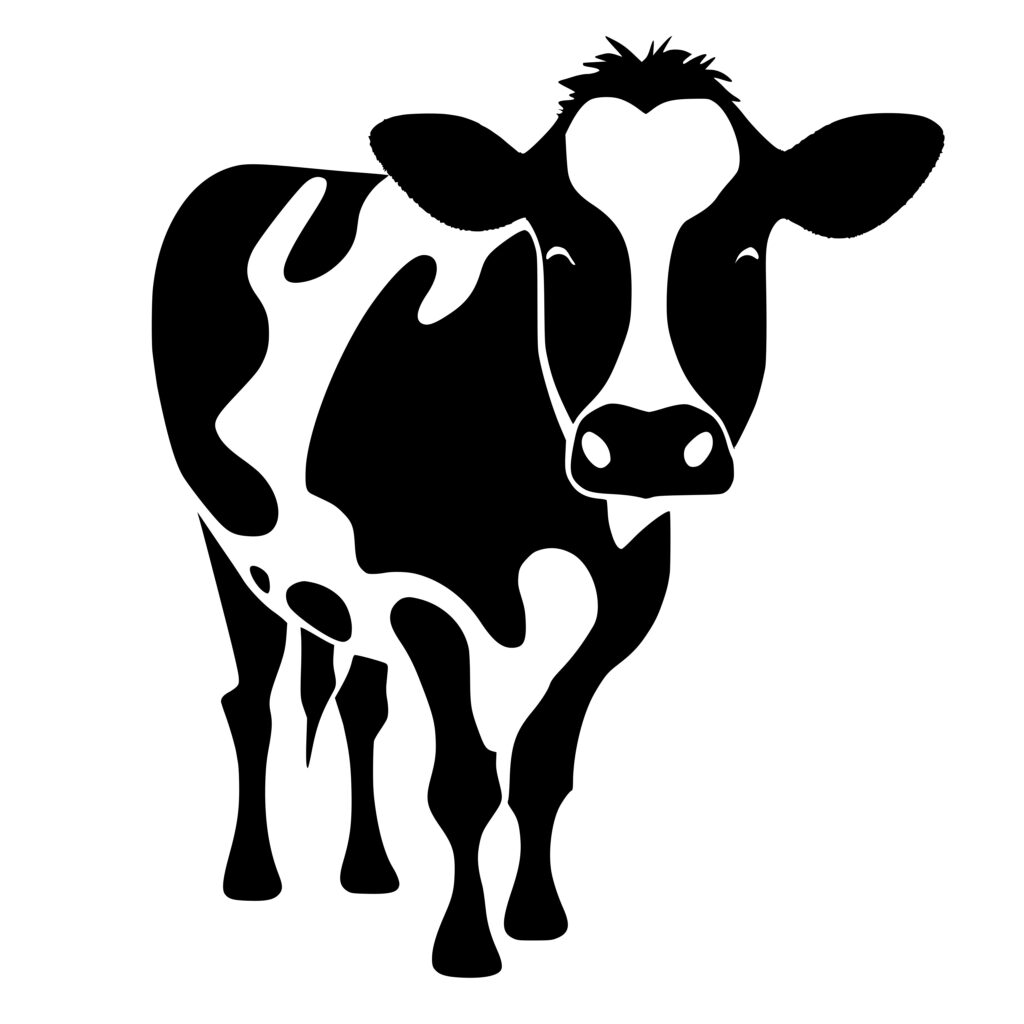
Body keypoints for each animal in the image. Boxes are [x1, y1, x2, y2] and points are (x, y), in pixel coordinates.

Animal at [152, 39, 942, 977]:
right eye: (559, 252)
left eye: (744, 253)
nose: (646, 441)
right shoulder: (426, 598)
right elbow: (463, 781)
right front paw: (466, 945)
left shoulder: (625, 600)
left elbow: (540, 770)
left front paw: (535, 917)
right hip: (226, 537)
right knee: (254, 701)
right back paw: (254, 875)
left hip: (349, 583)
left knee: (360, 706)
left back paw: (369, 871)